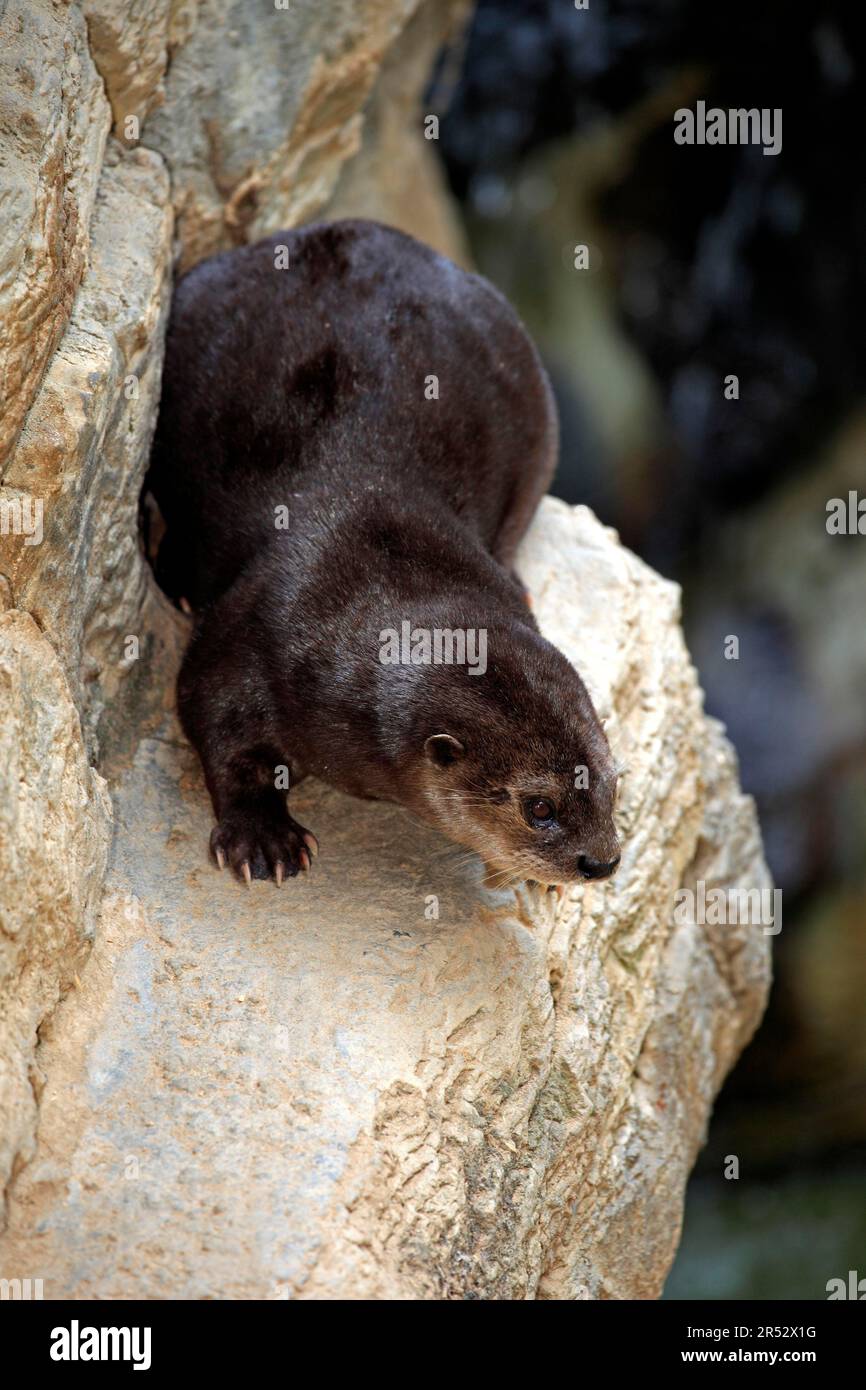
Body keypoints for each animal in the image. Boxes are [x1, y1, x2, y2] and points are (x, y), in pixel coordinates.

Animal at [147, 219, 620, 888]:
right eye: (540, 808)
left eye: (611, 782)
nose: (602, 860)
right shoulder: (252, 631)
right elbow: (214, 720)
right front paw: (262, 839)